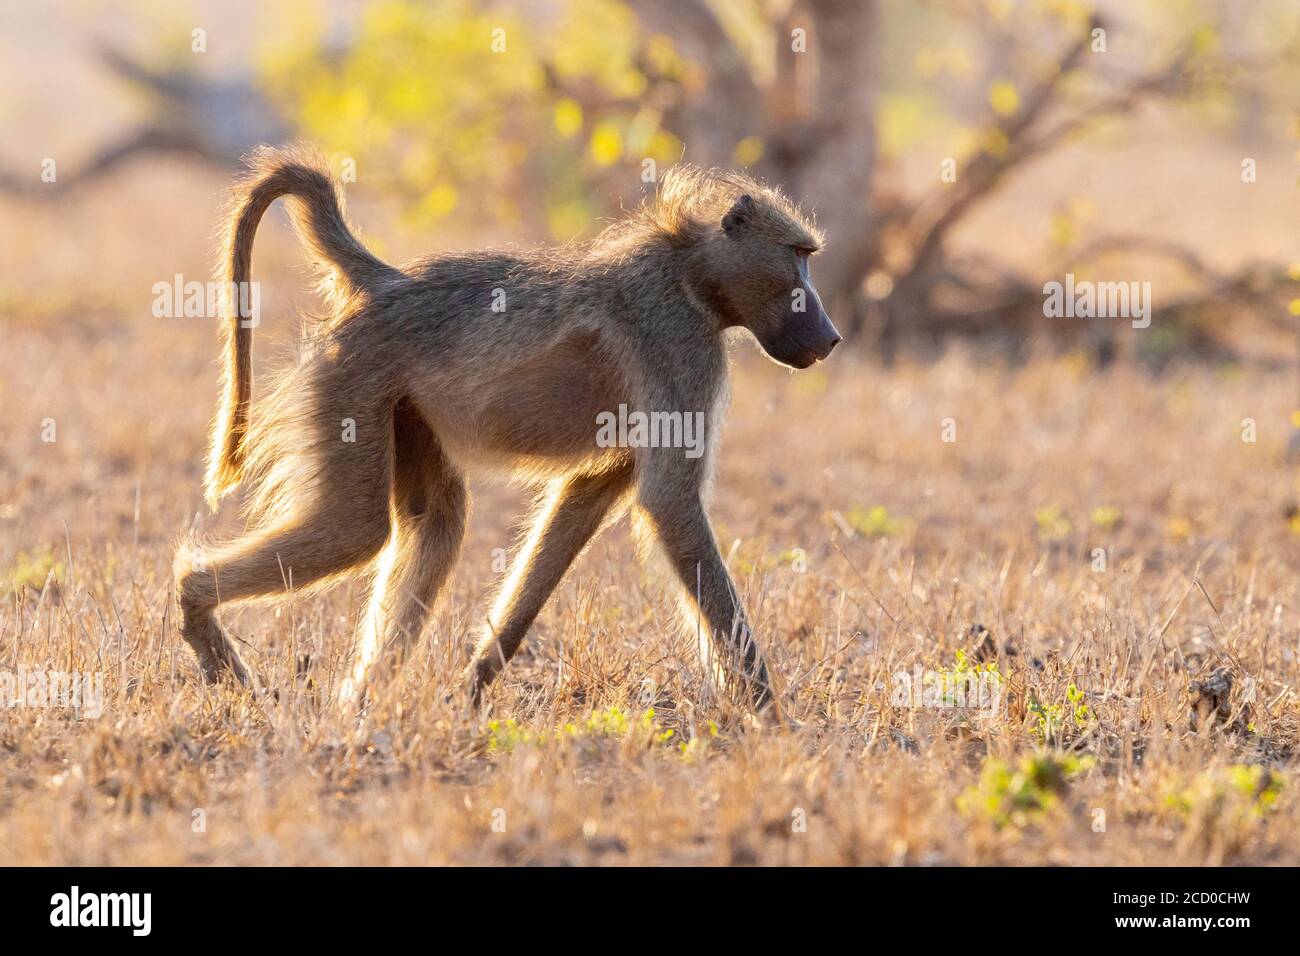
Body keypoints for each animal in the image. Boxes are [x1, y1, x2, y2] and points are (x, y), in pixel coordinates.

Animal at [173, 144, 840, 720]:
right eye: (798, 256)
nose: (831, 336)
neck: (690, 272)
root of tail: (389, 283)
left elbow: (583, 502)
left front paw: (472, 685)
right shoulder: (682, 350)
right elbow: (669, 502)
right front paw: (772, 718)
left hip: (396, 403)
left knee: (435, 522)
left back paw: (360, 703)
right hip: (351, 379)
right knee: (354, 531)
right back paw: (200, 612)